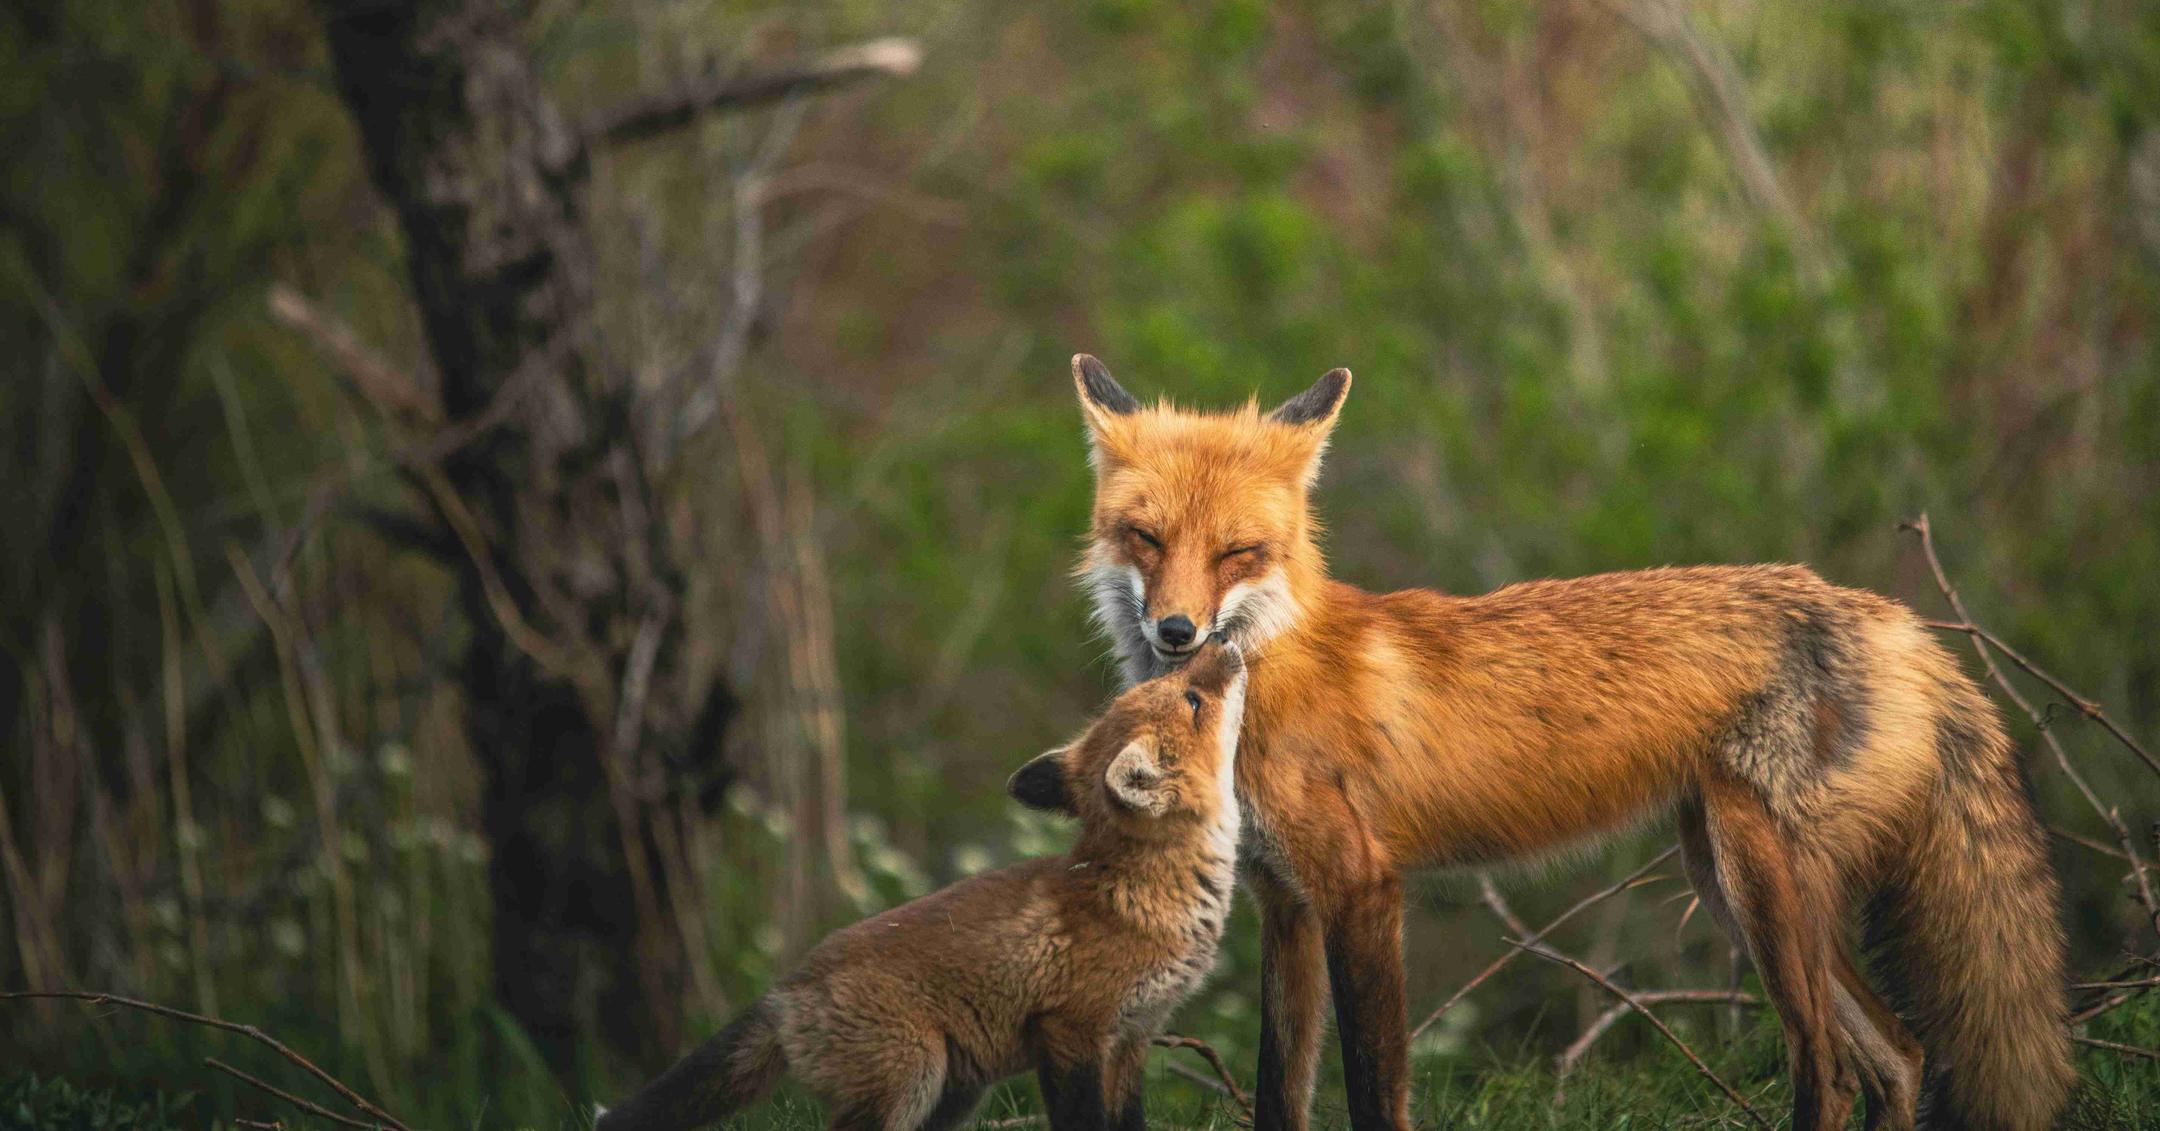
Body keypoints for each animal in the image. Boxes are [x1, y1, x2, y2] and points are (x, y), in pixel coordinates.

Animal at [597, 638, 1248, 1131]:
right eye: (1193, 699)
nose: (1216, 641)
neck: (1143, 894)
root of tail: (786, 989)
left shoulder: (1135, 1038)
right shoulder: (1071, 1032)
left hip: (952, 1095)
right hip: (912, 1077)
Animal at [1007, 355, 2073, 1131]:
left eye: (1237, 552)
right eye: (1145, 537)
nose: (1177, 632)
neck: (1267, 682)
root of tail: (1895, 618)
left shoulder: (1362, 886)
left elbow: (1374, 1089)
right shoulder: (1286, 903)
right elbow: (1281, 1093)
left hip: (1761, 883)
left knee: (1835, 1071)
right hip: (1733, 886)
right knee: (1901, 1054)